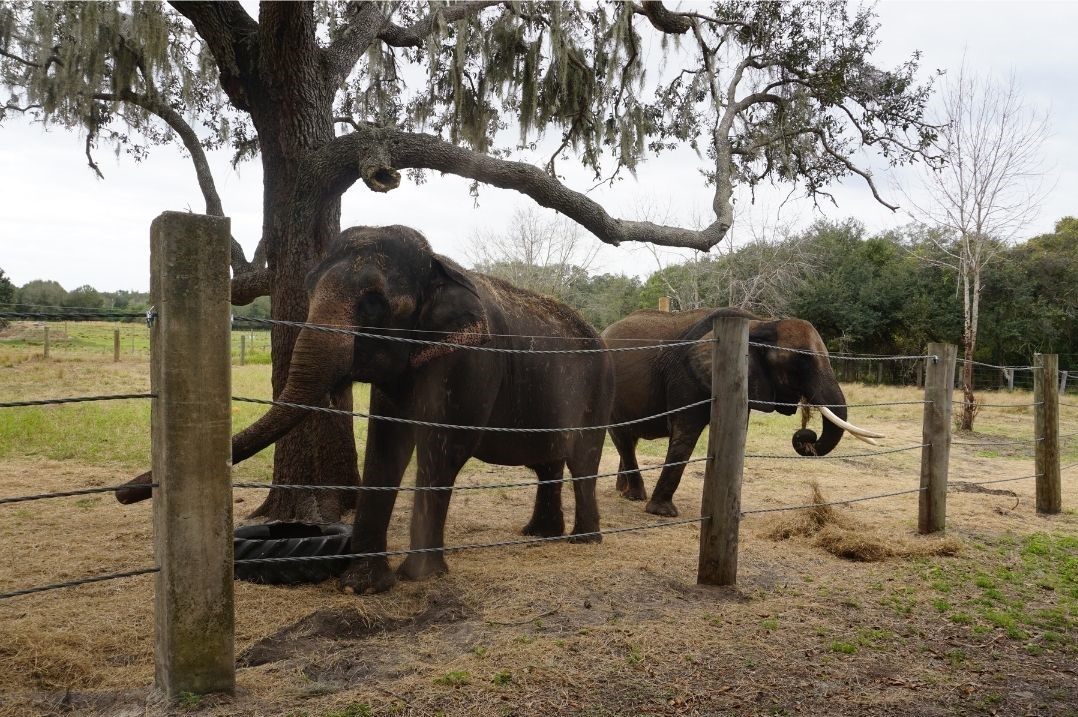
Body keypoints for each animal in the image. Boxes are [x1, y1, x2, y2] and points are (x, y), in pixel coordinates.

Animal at [116, 225, 615, 594]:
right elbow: (385, 445)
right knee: (549, 463)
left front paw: (419, 576)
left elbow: (444, 448)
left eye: (374, 304)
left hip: (596, 389)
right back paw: (539, 534)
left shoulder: (472, 360)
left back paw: (584, 539)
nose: (121, 493)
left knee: (582, 459)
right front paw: (363, 584)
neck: (438, 264)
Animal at [601, 308, 883, 517]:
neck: (759, 323)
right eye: (799, 362)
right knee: (623, 437)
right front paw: (663, 513)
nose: (806, 435)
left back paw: (623, 491)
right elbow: (685, 436)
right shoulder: (686, 378)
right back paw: (636, 496)